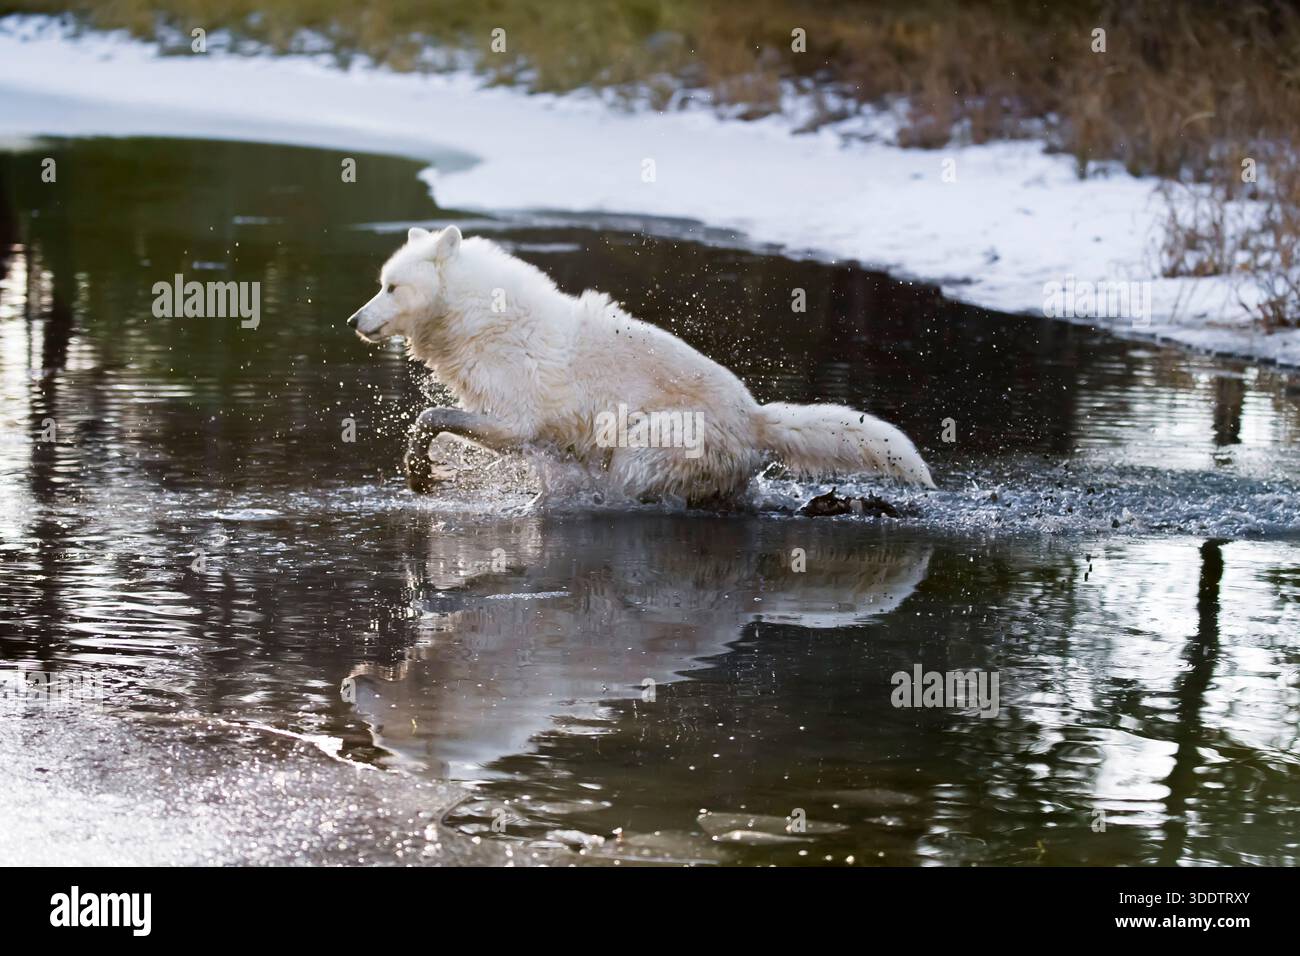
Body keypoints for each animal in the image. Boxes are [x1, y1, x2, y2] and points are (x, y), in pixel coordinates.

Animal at [347, 226, 934, 506]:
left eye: (390, 287)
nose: (354, 320)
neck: (476, 315)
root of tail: (756, 417)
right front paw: (424, 473)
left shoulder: (517, 423)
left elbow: (430, 418)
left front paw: (421, 473)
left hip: (644, 445)